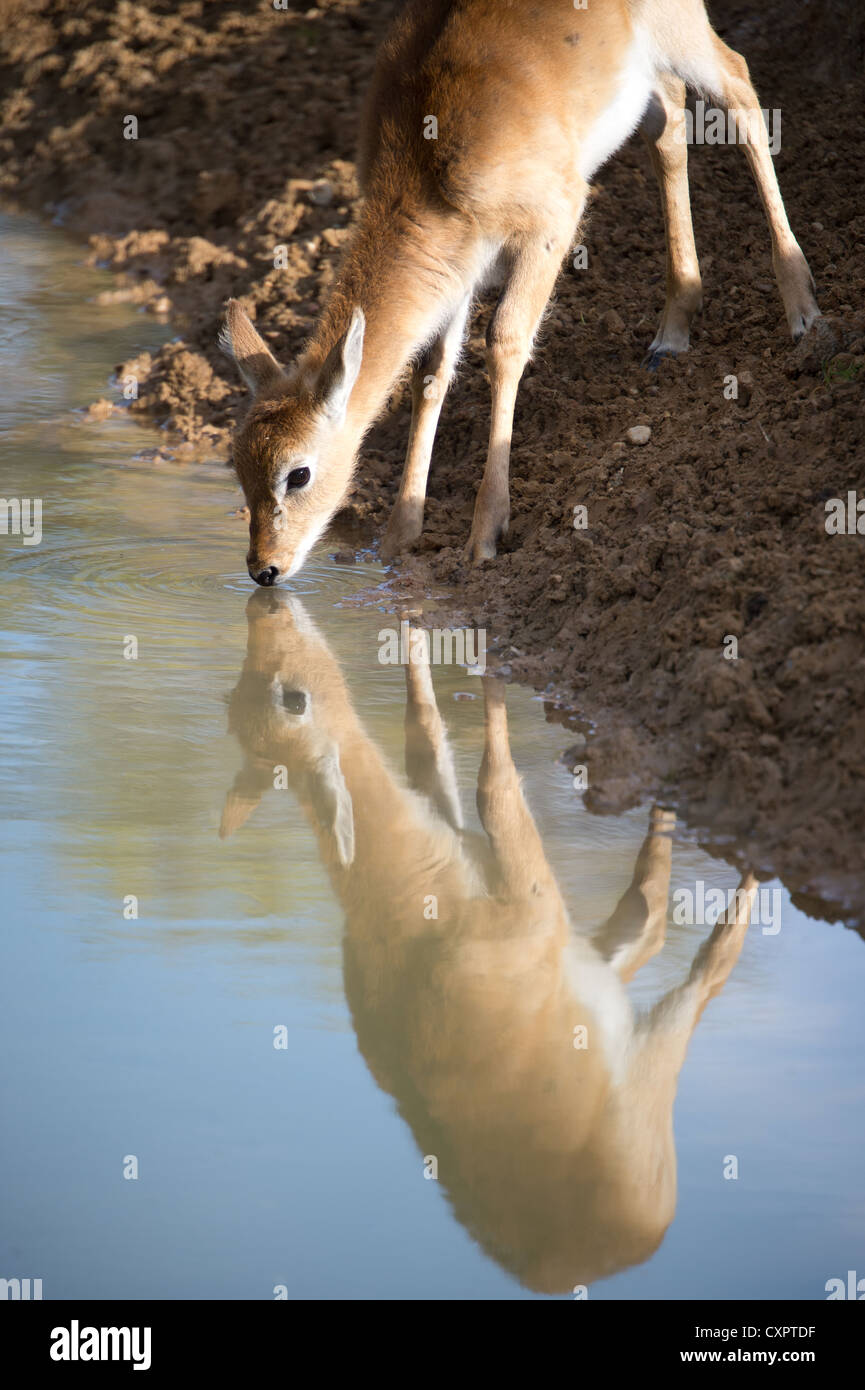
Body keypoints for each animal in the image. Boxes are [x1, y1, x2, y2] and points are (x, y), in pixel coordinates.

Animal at [220, 589, 757, 1293]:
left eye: (290, 697)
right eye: (234, 701)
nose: (269, 594)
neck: (419, 909)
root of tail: (629, 1245)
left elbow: (459, 760)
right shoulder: (527, 892)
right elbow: (466, 767)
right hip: (636, 1049)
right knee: (666, 933)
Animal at [221, 0, 820, 584]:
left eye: (298, 472)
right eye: (238, 463)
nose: (264, 568)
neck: (428, 173)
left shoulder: (555, 217)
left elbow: (504, 342)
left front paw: (485, 535)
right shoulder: (457, 275)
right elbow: (430, 375)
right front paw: (398, 538)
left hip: (684, 32)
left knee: (737, 82)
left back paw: (804, 310)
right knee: (670, 119)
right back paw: (672, 332)